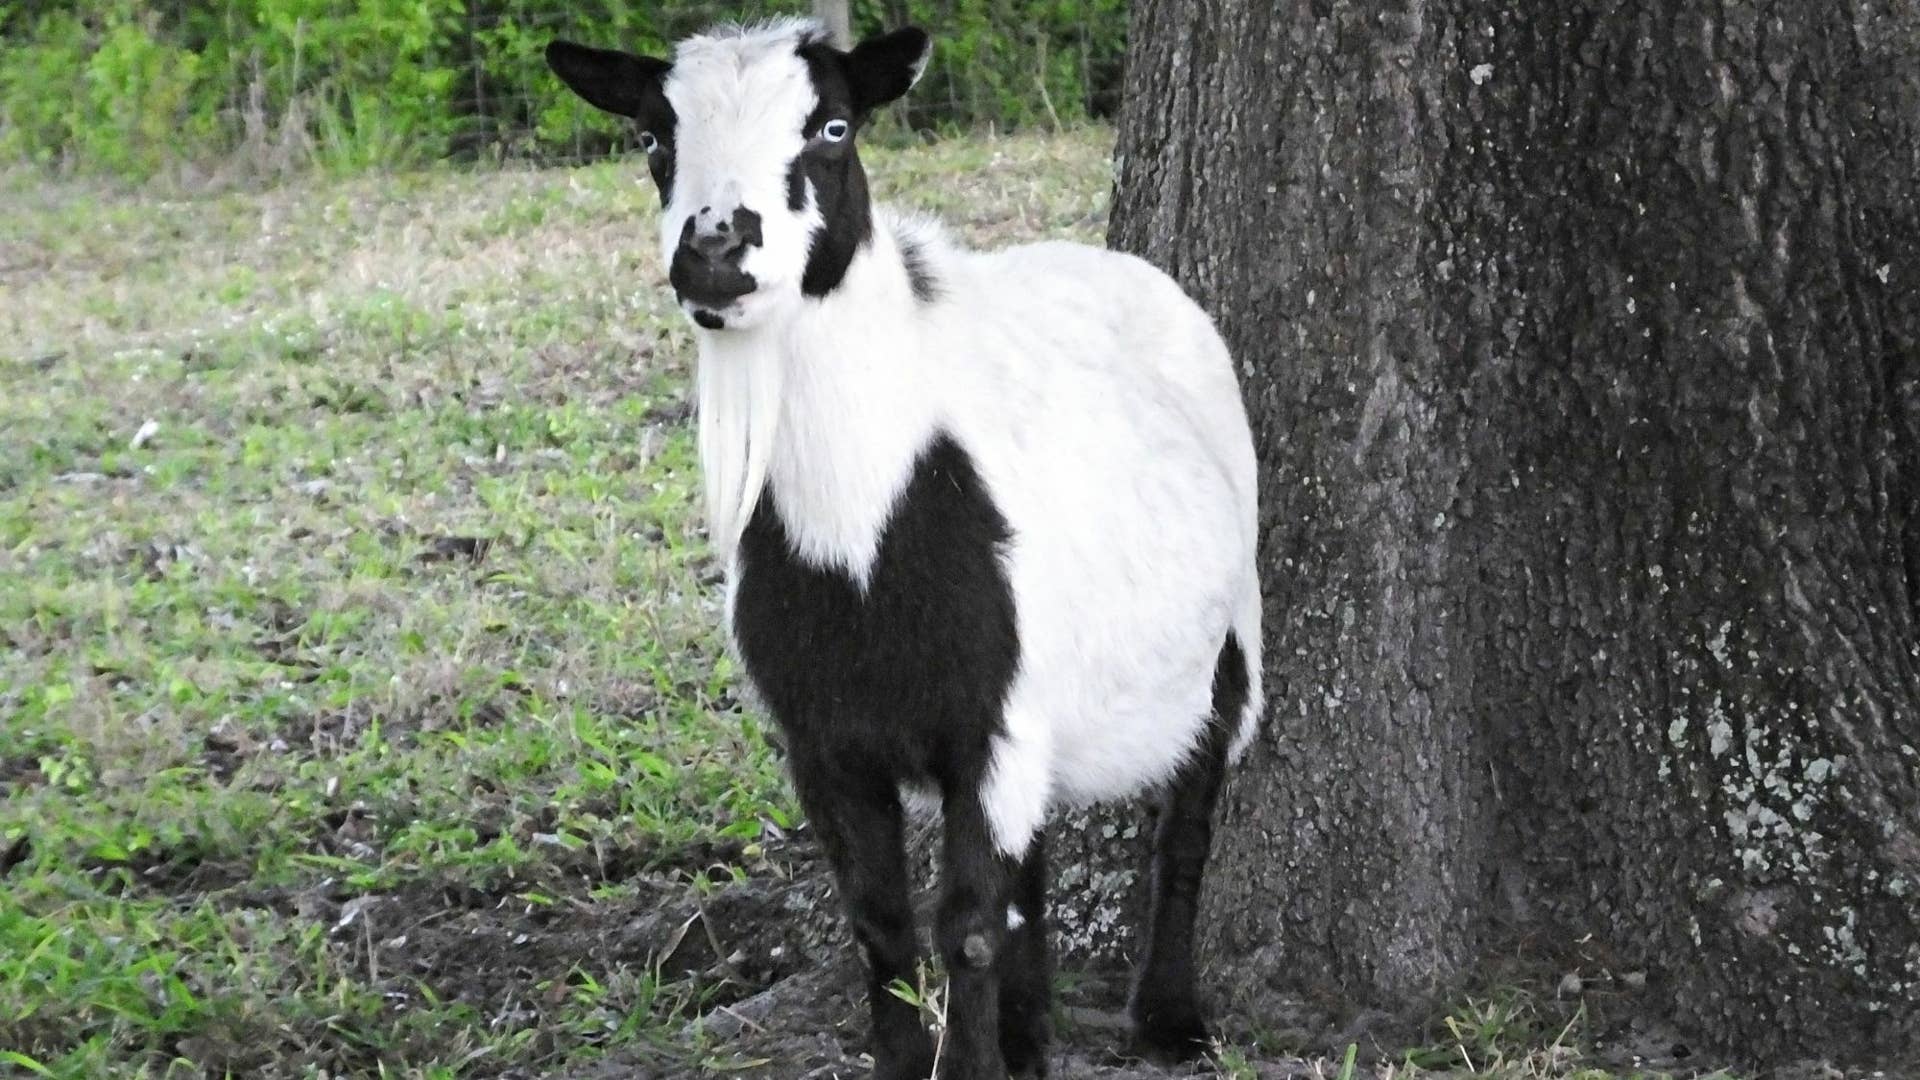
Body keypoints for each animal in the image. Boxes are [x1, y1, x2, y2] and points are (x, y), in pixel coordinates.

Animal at [547, 19, 1263, 1080]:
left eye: (833, 127)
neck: (859, 533)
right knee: (1031, 882)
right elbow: (883, 926)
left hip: (1230, 636)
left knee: (1187, 818)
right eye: (649, 138)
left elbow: (963, 930)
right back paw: (1033, 1045)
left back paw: (1169, 1019)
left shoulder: (990, 722)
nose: (715, 248)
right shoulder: (826, 739)